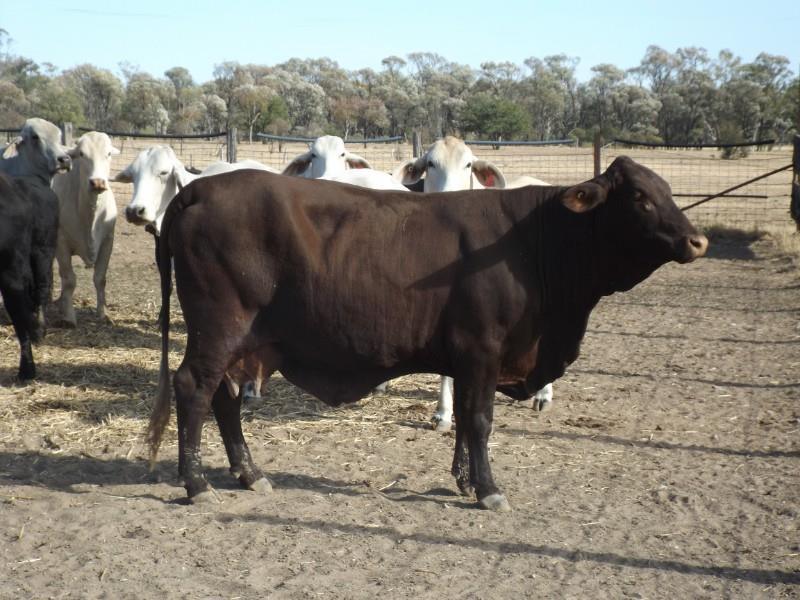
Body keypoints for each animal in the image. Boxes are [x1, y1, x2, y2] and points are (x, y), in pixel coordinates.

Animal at [52, 132, 120, 327]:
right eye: (82, 154)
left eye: (108, 153)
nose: (97, 182)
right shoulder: (60, 242)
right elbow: (69, 280)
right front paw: (69, 317)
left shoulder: (107, 241)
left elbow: (100, 278)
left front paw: (103, 314)